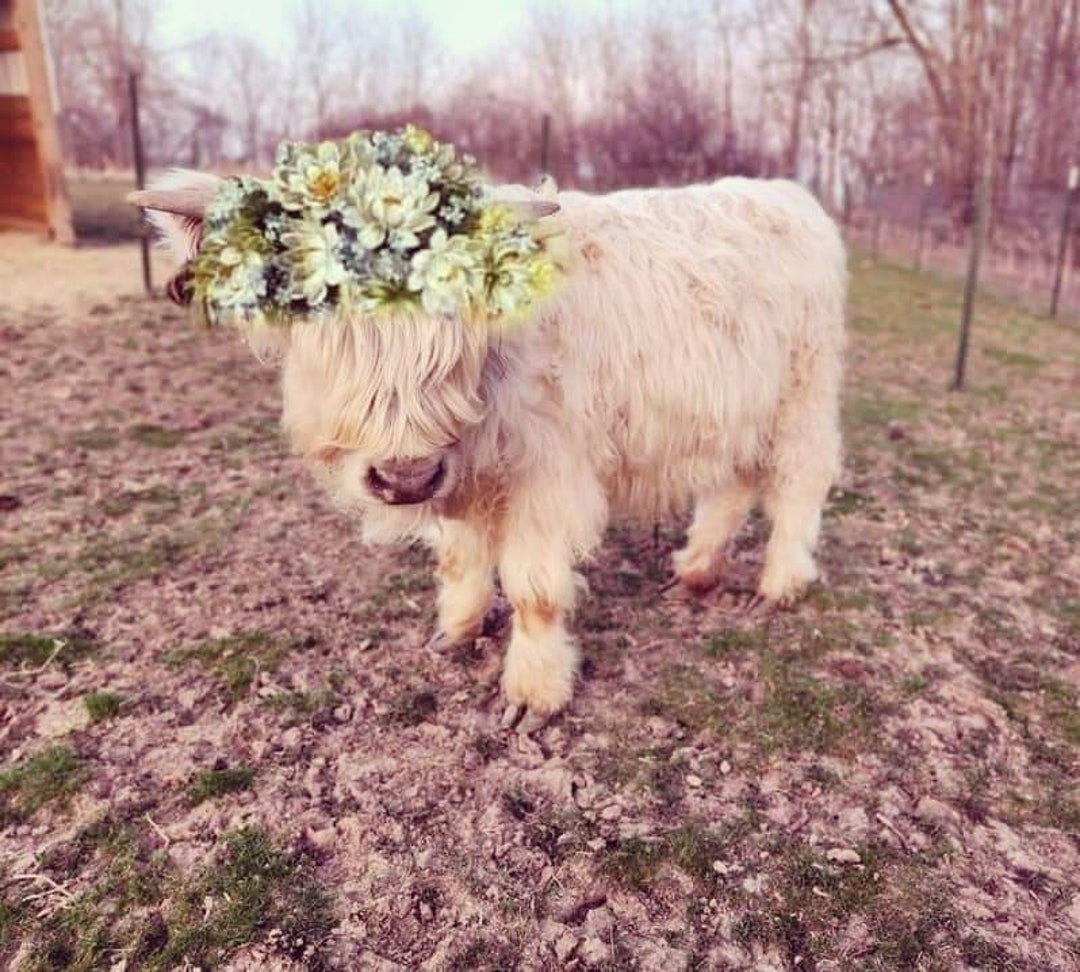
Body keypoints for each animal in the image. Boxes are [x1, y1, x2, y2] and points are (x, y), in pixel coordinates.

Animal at [132, 143, 846, 732]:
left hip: (805, 393)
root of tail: (790, 195)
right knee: (735, 483)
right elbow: (459, 557)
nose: (402, 478)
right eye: (317, 298)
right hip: (739, 409)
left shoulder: (546, 476)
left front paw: (533, 694)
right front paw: (456, 629)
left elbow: (533, 588)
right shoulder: (459, 475)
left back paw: (778, 584)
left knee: (799, 482)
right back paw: (695, 569)